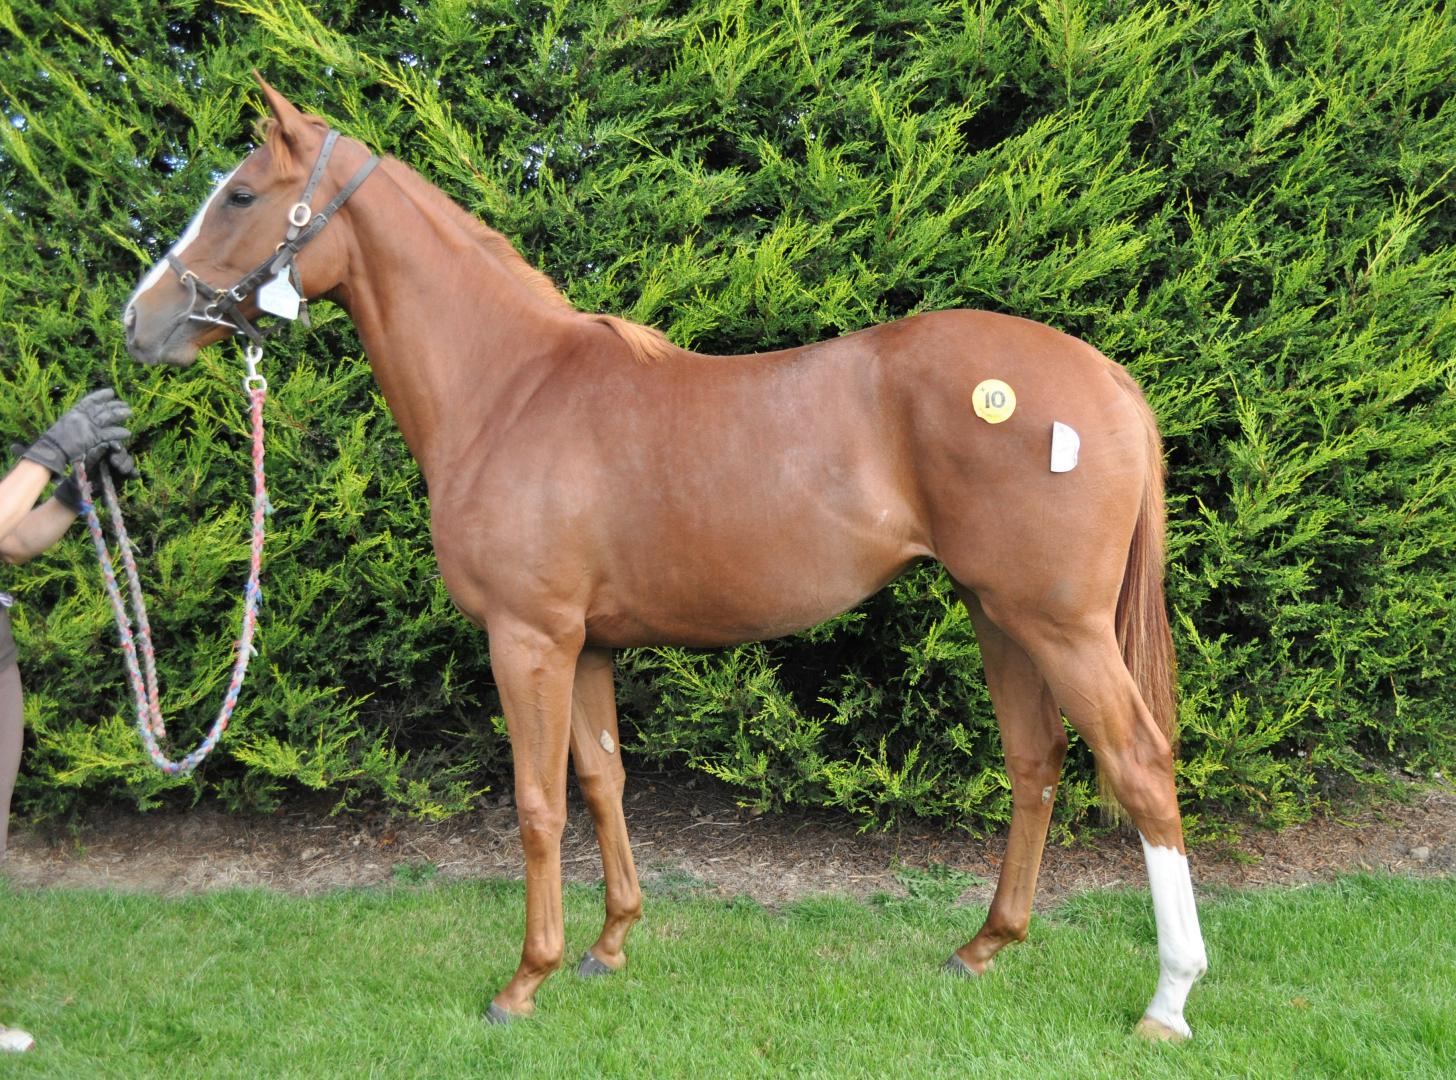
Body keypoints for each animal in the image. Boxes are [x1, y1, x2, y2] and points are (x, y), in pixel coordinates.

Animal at [122, 76, 1208, 1041]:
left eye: (240, 195)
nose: (140, 322)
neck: (508, 390)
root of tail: (1108, 379)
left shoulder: (528, 638)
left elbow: (537, 804)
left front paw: (524, 982)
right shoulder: (587, 644)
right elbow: (603, 780)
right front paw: (608, 947)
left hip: (1058, 624)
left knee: (1140, 766)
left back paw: (1167, 1001)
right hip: (1000, 616)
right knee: (1036, 761)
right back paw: (983, 948)